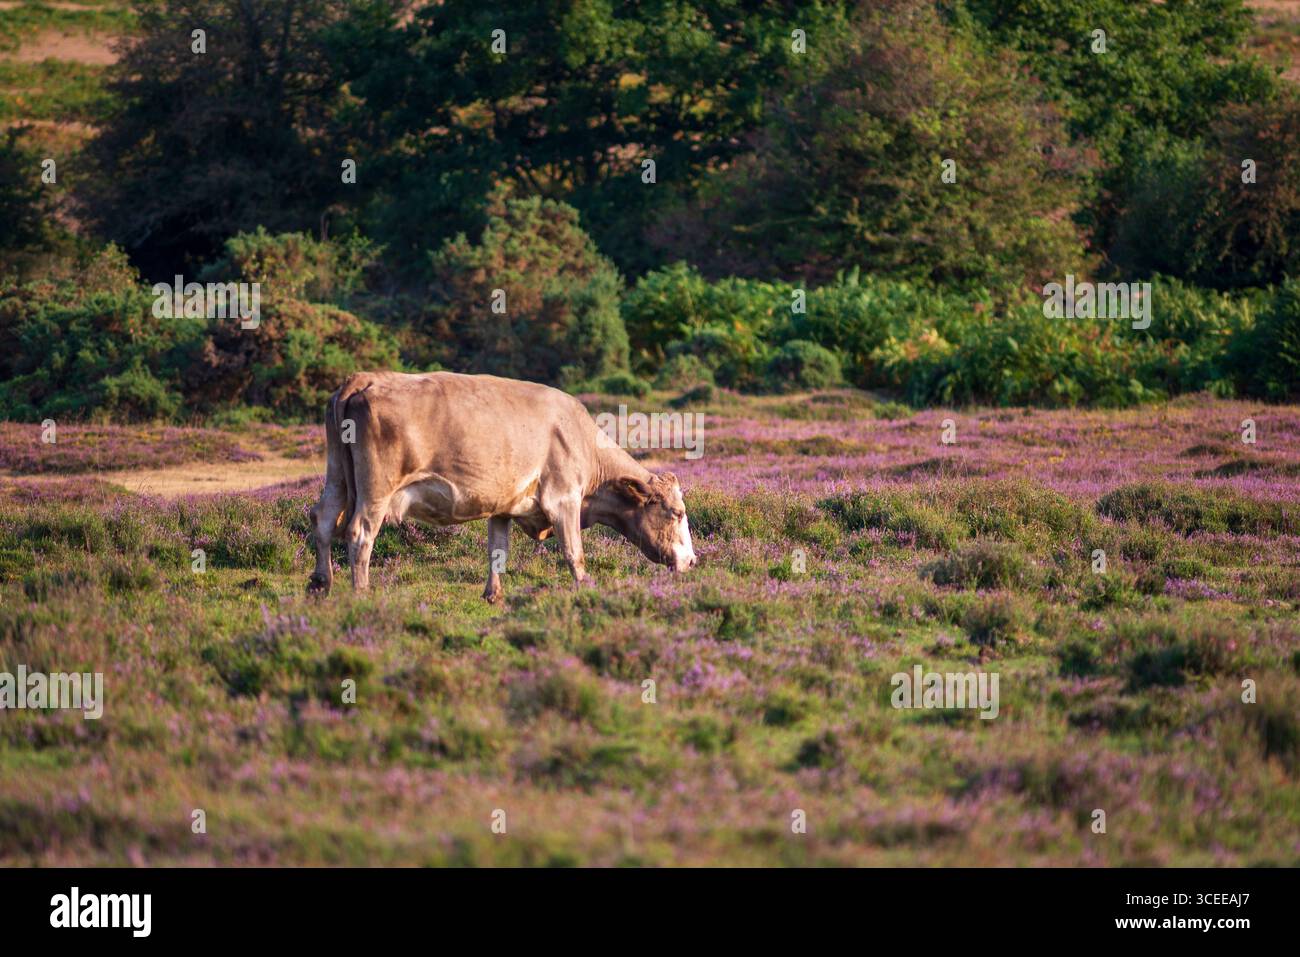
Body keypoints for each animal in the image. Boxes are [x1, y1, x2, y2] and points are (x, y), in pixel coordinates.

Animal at [306, 371, 697, 602]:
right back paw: (361, 593)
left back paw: (320, 584)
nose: (693, 560)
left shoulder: (503, 506)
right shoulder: (563, 498)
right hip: (376, 488)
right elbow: (574, 551)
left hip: (337, 476)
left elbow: (498, 550)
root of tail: (364, 379)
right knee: (360, 533)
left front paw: (492, 595)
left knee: (323, 518)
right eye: (677, 513)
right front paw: (585, 588)